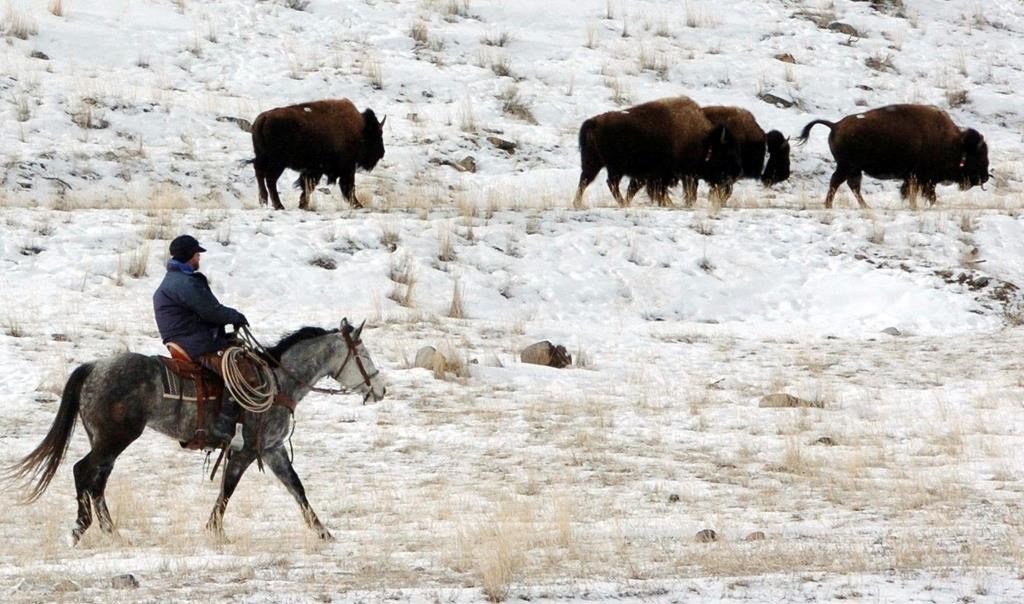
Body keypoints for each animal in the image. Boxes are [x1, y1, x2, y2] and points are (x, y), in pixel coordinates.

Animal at [251, 99, 386, 210]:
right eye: (378, 135)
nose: (382, 153)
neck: (359, 129)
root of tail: (264, 118)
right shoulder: (346, 168)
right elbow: (348, 186)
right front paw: (358, 205)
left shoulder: (314, 170)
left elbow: (308, 186)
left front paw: (303, 205)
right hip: (278, 162)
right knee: (270, 179)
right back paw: (279, 205)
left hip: (263, 158)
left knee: (260, 174)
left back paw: (264, 201)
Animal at [573, 96, 742, 209]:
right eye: (725, 155)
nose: (735, 175)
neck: (703, 141)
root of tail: (594, 122)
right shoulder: (670, 176)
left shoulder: (650, 177)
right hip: (613, 167)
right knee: (609, 183)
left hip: (594, 163)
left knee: (586, 181)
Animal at [797, 104, 989, 208]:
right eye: (979, 157)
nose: (986, 177)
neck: (955, 143)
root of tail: (836, 125)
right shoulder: (924, 179)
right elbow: (927, 194)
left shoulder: (915, 178)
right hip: (847, 166)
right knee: (837, 182)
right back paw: (831, 205)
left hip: (854, 169)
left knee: (852, 186)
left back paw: (865, 206)